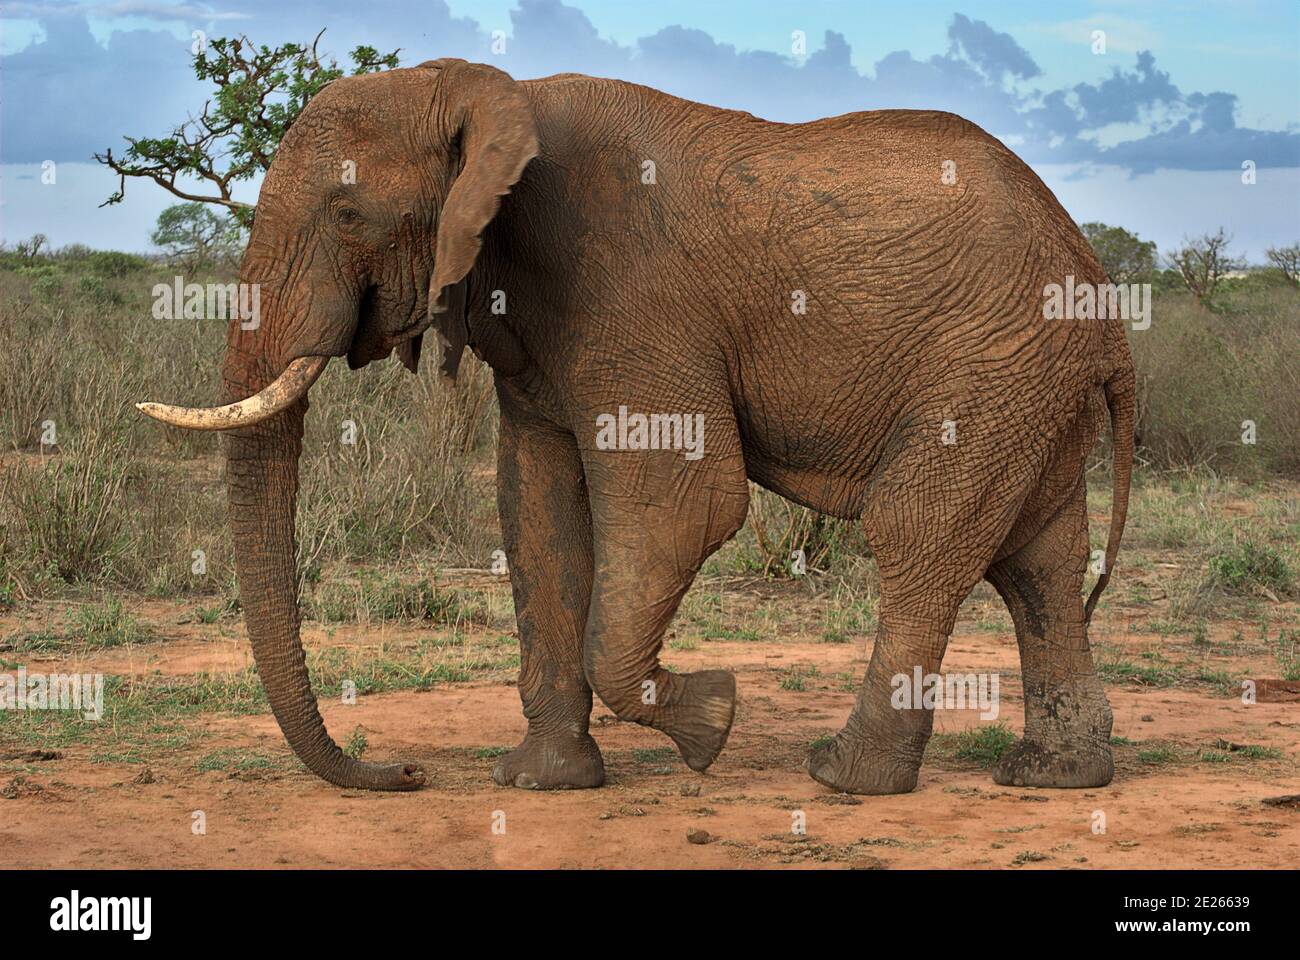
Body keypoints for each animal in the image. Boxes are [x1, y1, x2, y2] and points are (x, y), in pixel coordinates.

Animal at [139, 58, 1135, 795]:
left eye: (347, 215)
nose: (407, 771)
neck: (484, 92)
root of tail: (1099, 287)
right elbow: (537, 509)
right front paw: (543, 782)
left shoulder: (630, 290)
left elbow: (684, 504)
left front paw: (712, 722)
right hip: (1029, 383)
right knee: (1038, 563)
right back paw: (1054, 778)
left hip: (991, 362)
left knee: (919, 535)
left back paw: (843, 778)